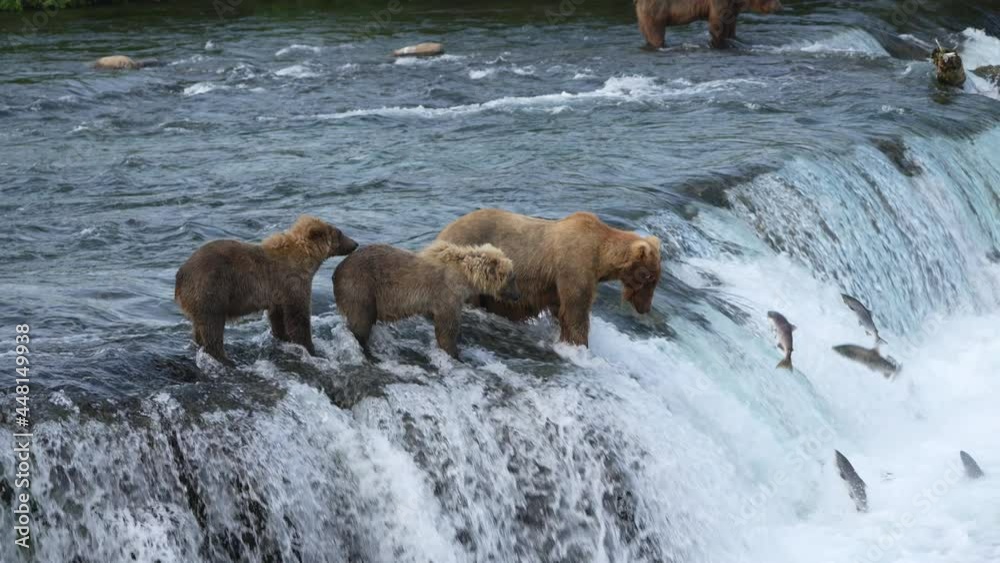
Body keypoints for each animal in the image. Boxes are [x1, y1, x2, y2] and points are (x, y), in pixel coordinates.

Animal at [175, 215, 358, 366]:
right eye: (339, 233)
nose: (355, 243)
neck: (305, 260)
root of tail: (180, 275)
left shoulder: (277, 293)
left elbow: (278, 317)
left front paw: (284, 338)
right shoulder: (292, 283)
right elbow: (298, 317)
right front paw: (311, 349)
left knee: (200, 326)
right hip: (211, 288)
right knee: (212, 325)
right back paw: (225, 358)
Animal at [333, 241, 520, 359]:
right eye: (512, 278)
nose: (518, 296)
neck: (464, 278)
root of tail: (336, 271)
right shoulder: (447, 295)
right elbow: (446, 328)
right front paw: (454, 352)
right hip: (361, 286)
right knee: (361, 321)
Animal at [435, 209, 662, 347]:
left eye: (656, 279)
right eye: (647, 276)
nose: (645, 307)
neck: (600, 256)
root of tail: (442, 233)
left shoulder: (555, 285)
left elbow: (560, 309)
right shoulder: (574, 267)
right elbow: (576, 312)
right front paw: (580, 345)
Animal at [634, 0, 782, 50]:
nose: (779, 6)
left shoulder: (731, 7)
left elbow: (730, 25)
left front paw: (733, 39)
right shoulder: (719, 4)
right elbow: (717, 24)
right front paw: (717, 43)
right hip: (657, 8)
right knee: (655, 32)